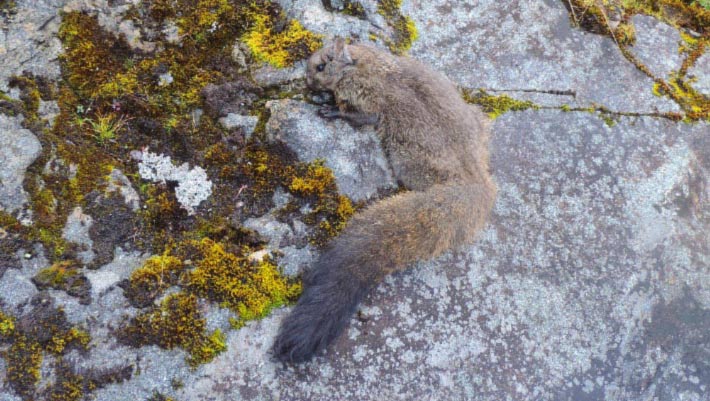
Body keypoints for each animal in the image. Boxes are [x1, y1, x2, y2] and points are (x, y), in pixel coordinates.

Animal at [272, 38, 497, 363]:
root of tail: (477, 182)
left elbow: (365, 115)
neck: (369, 64)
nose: (306, 80)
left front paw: (331, 109)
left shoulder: (369, 98)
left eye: (321, 66)